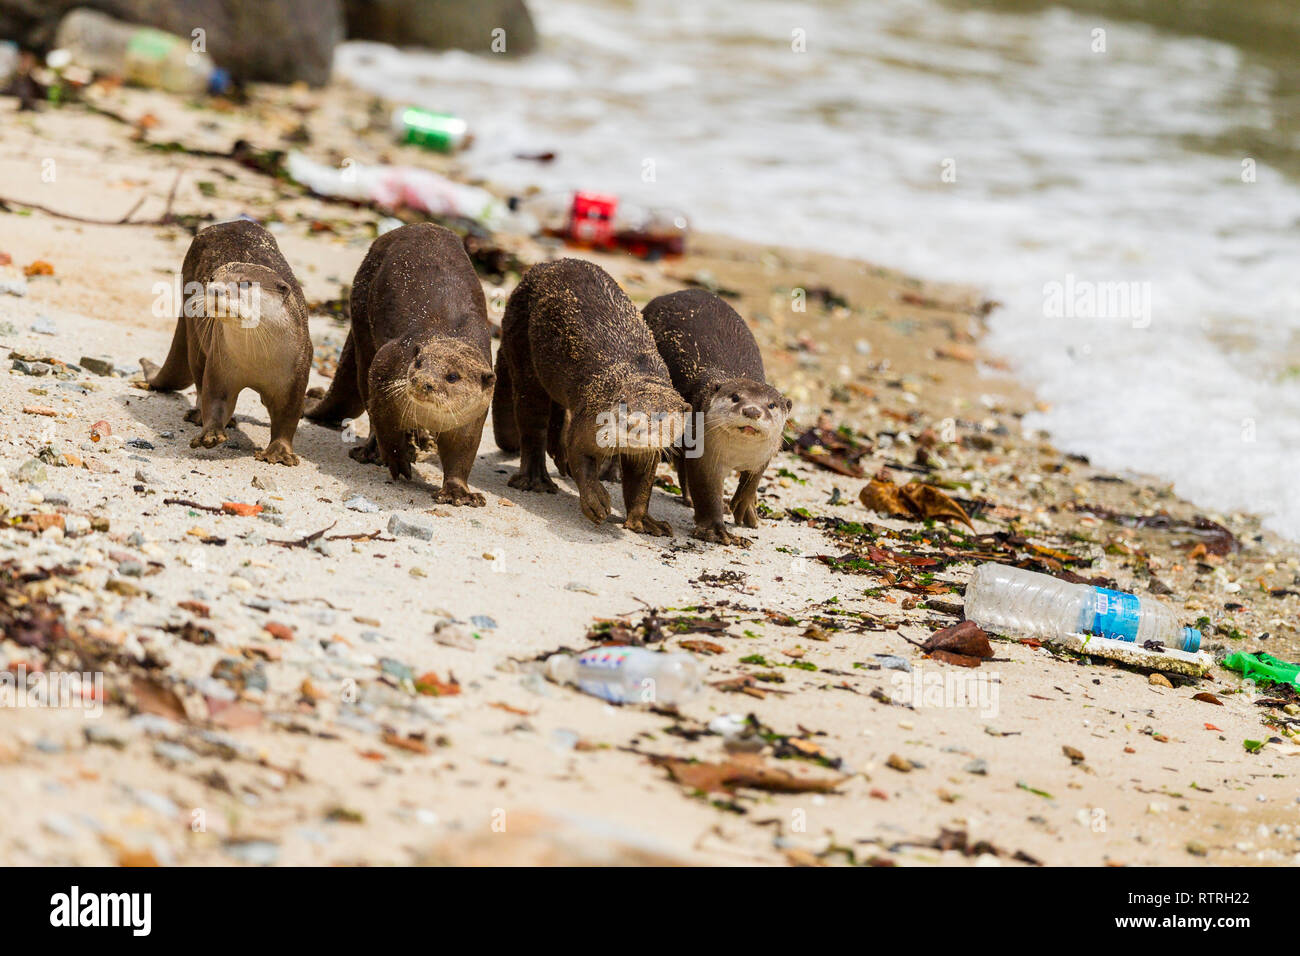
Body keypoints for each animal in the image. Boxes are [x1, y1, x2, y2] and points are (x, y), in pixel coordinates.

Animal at [140, 219, 311, 465]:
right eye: (212, 278)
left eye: (246, 284)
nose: (214, 290)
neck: (257, 361)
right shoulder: (219, 363)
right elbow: (215, 397)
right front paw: (211, 433)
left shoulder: (297, 372)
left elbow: (287, 416)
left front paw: (279, 452)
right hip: (195, 339)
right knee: (198, 377)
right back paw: (200, 416)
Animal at [305, 223, 495, 506]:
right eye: (418, 362)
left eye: (452, 376)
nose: (422, 381)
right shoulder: (388, 364)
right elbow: (385, 425)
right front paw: (398, 461)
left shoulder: (471, 421)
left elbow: (462, 455)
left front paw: (458, 492)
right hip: (362, 318)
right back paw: (372, 451)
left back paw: (422, 440)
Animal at [493, 258, 690, 534]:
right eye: (624, 407)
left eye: (661, 417)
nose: (634, 425)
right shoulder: (590, 416)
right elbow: (581, 456)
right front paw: (597, 502)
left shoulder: (648, 454)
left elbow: (641, 485)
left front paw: (646, 522)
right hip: (522, 344)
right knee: (532, 419)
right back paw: (536, 480)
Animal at [642, 289, 790, 546]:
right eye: (735, 397)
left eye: (771, 405)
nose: (752, 411)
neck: (737, 455)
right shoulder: (705, 456)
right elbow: (708, 492)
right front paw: (716, 530)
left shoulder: (766, 454)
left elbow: (753, 481)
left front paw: (746, 509)